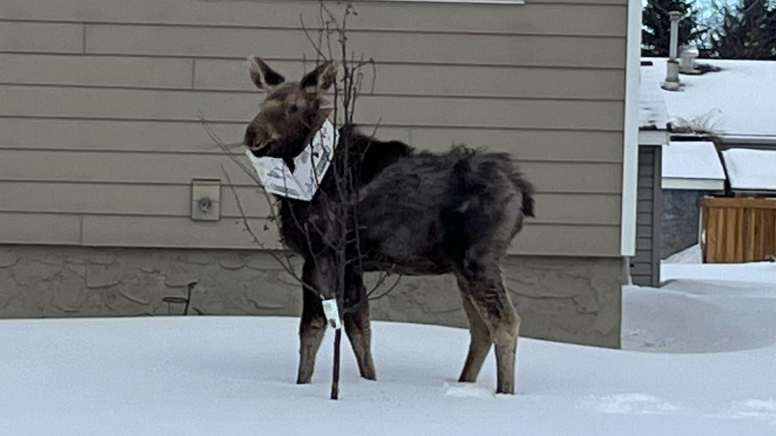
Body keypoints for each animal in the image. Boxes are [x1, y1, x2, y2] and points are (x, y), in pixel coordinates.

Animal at [243, 57, 535, 394]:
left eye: (294, 107)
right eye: (262, 102)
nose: (253, 135)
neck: (301, 188)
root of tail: (522, 192)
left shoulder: (321, 252)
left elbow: (312, 329)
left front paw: (302, 385)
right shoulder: (351, 262)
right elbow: (360, 329)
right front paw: (368, 381)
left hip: (478, 259)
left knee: (505, 322)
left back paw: (504, 393)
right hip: (462, 266)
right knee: (480, 328)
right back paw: (464, 384)